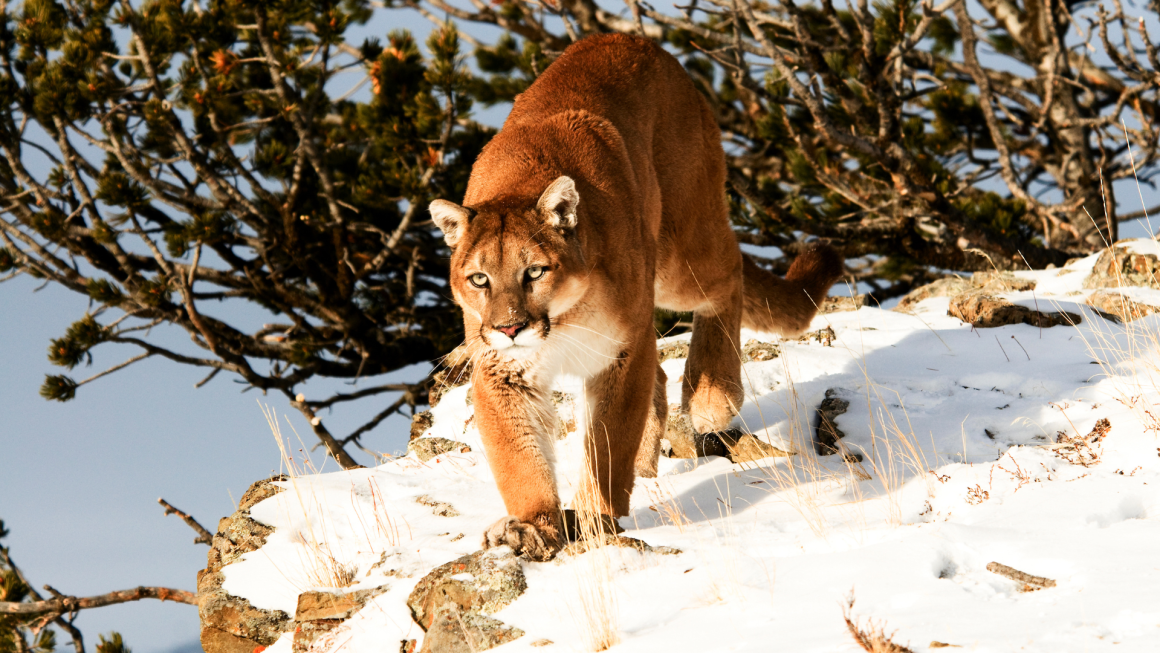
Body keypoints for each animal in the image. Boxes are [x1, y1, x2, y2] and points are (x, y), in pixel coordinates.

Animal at [429, 34, 843, 560]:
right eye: (480, 279)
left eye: (535, 271)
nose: (509, 327)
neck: (562, 321)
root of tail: (631, 38)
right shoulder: (502, 370)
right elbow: (517, 455)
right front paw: (532, 526)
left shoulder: (621, 351)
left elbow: (608, 443)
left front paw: (596, 517)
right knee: (662, 372)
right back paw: (647, 470)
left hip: (682, 251)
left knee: (728, 274)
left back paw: (712, 394)